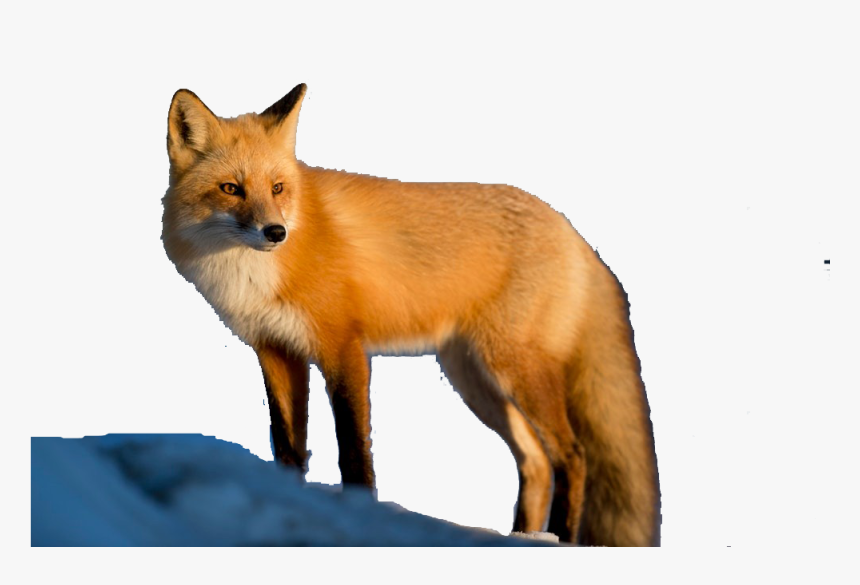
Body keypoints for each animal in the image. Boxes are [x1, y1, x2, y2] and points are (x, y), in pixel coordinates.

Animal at [162, 84, 660, 546]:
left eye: (278, 188)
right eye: (231, 188)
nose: (276, 232)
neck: (254, 274)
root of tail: (571, 230)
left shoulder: (344, 349)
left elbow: (353, 450)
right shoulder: (277, 351)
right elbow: (288, 447)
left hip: (515, 370)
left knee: (572, 456)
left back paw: (559, 538)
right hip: (474, 380)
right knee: (536, 462)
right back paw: (522, 536)